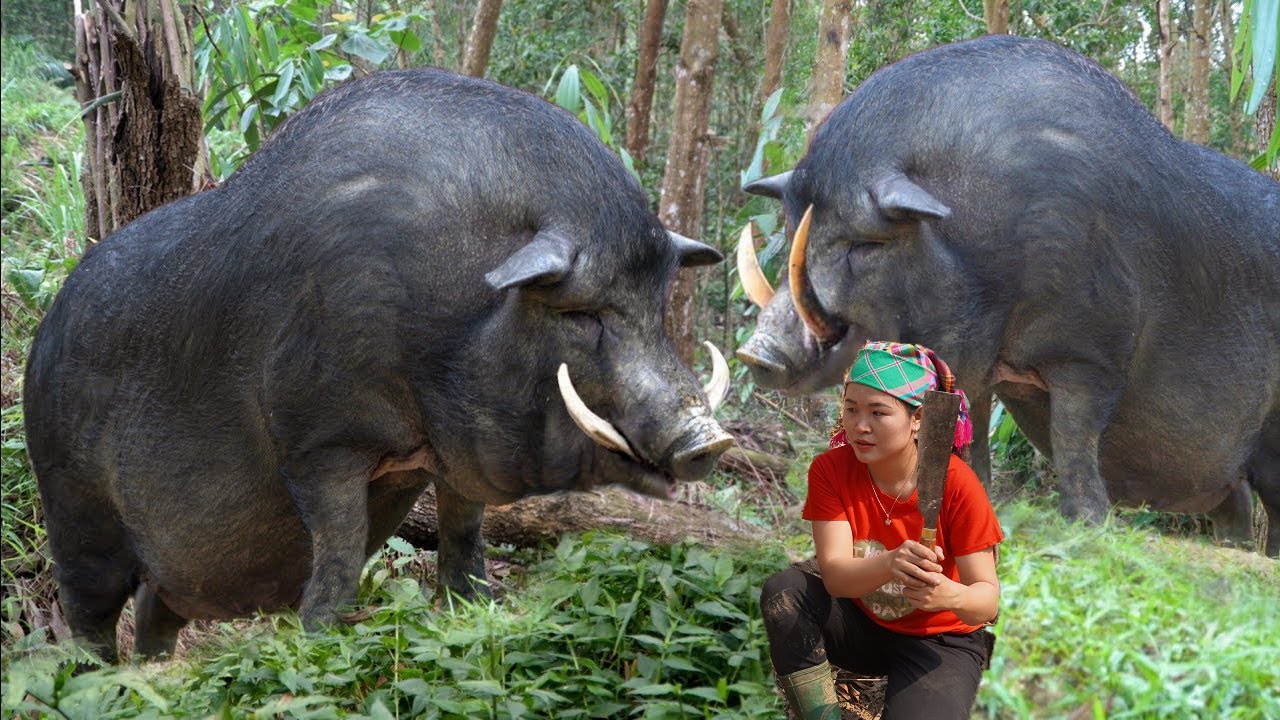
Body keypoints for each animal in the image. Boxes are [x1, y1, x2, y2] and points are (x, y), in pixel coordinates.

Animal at [23, 68, 735, 662]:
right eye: (581, 314)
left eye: (657, 301)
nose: (709, 440)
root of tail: (39, 339)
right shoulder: (319, 441)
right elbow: (338, 563)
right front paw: (319, 649)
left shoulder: (452, 458)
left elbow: (464, 545)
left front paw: (472, 616)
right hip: (74, 507)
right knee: (87, 615)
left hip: (162, 572)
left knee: (154, 612)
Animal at [734, 35, 1280, 554]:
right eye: (792, 222)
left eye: (867, 244)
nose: (756, 352)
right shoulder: (976, 364)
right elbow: (967, 430)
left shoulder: (1091, 351)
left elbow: (1073, 435)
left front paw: (1087, 525)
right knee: (1235, 505)